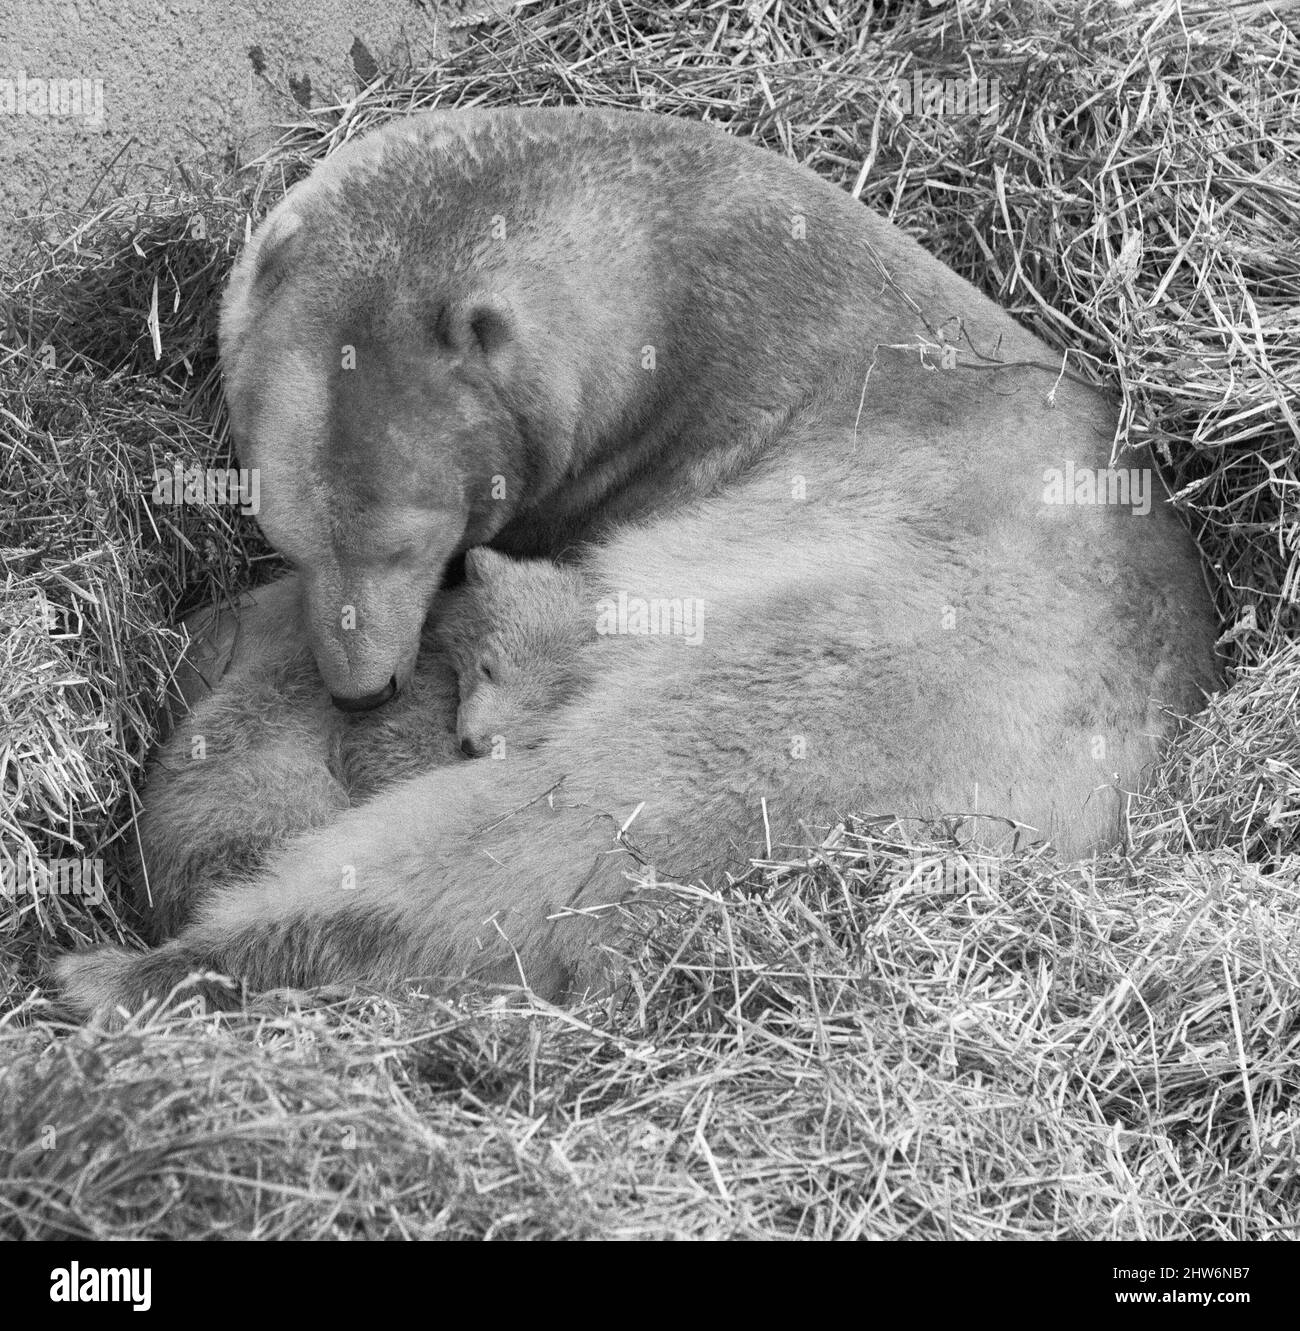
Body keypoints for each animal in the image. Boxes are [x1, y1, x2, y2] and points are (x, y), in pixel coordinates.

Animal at [53, 105, 1219, 1016]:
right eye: (285, 527)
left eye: (411, 542)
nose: (361, 688)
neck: (670, 272)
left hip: (860, 654)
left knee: (545, 827)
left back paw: (132, 970)